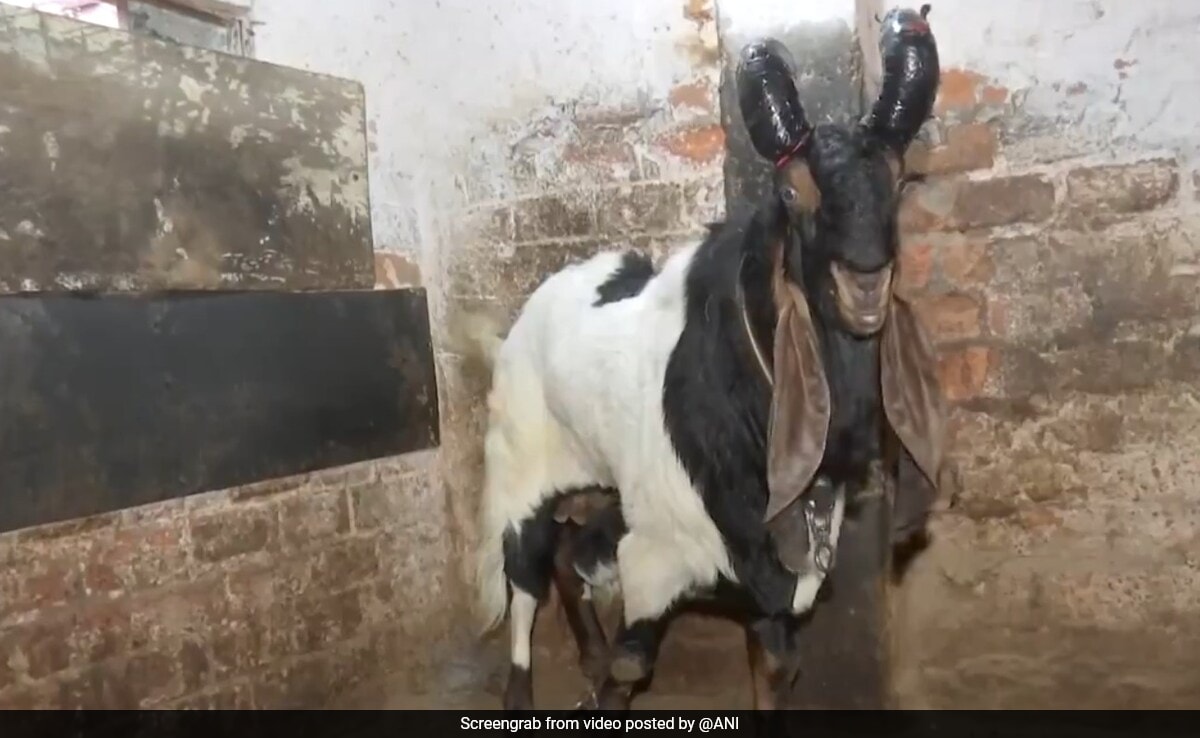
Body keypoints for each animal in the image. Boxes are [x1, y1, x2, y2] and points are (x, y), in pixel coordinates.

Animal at [462, 5, 949, 711]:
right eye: (791, 194)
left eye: (900, 180)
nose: (865, 282)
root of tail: (521, 324)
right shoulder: (655, 564)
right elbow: (632, 665)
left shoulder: (771, 595)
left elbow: (774, 670)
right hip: (519, 473)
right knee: (525, 576)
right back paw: (522, 693)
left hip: (601, 483)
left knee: (569, 554)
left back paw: (586, 654)